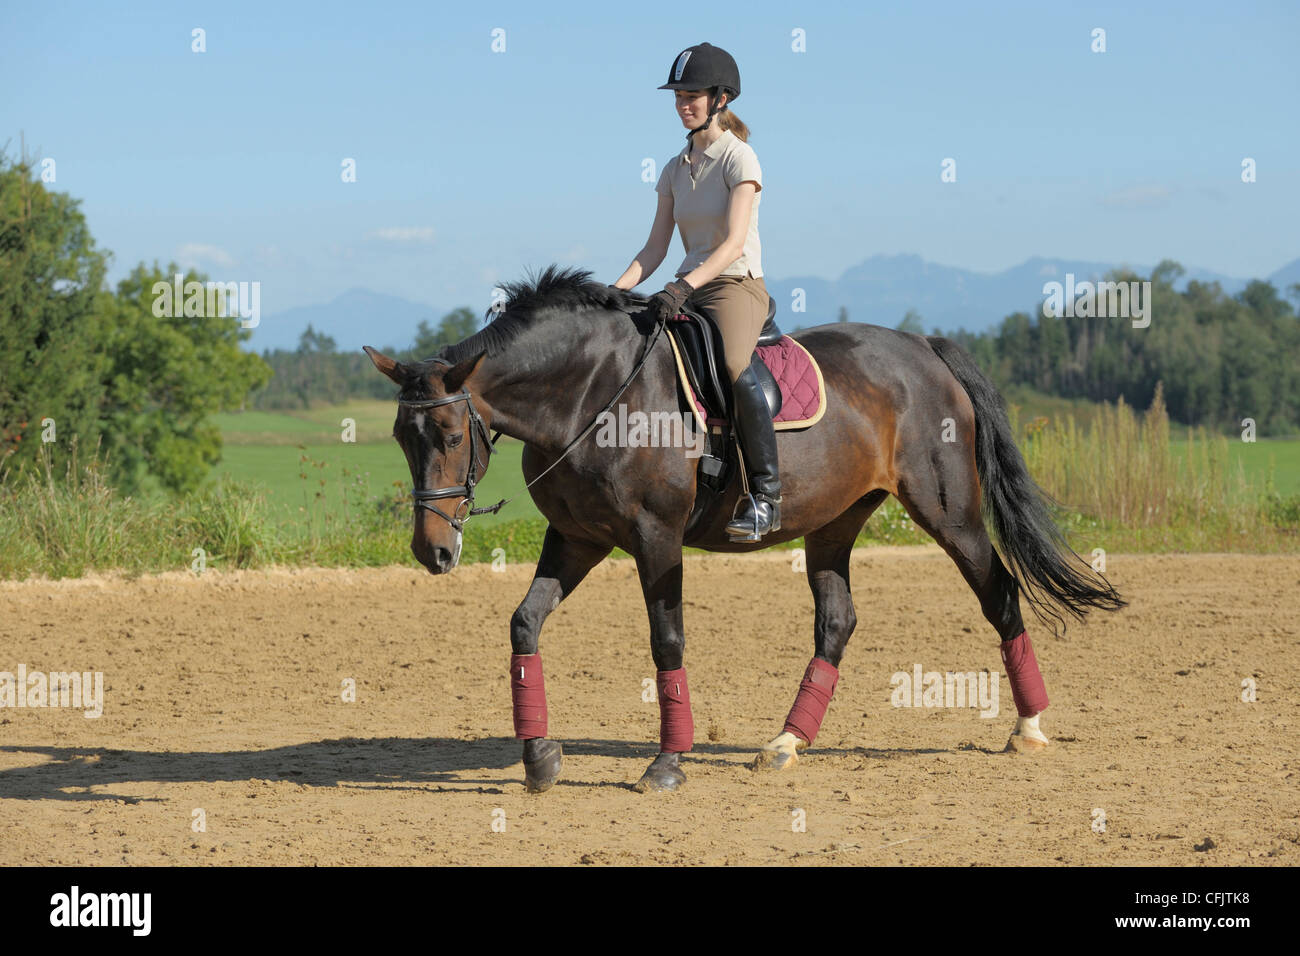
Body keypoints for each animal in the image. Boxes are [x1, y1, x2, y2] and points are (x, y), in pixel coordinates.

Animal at [364, 265, 1125, 793]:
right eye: (401, 437)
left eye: (452, 434)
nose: (432, 551)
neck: (590, 392)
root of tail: (925, 348)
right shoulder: (578, 538)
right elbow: (524, 623)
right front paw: (539, 758)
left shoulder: (655, 538)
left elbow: (666, 641)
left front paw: (667, 763)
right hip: (835, 522)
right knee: (837, 622)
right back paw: (785, 743)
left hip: (950, 512)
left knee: (998, 592)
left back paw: (1028, 728)